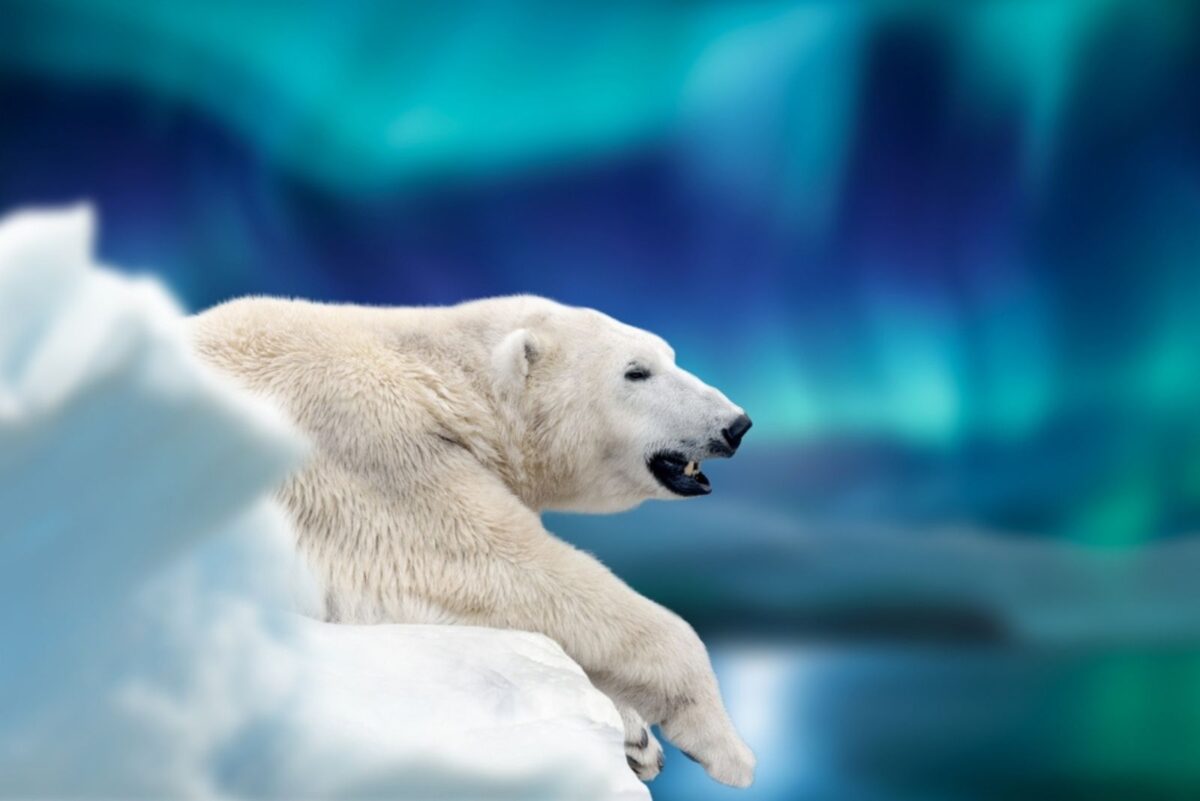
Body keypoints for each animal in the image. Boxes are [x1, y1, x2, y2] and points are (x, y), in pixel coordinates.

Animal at [188, 294, 756, 788]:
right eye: (635, 371)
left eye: (669, 356)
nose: (736, 424)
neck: (438, 379)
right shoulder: (370, 448)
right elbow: (497, 566)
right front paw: (726, 748)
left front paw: (637, 739)